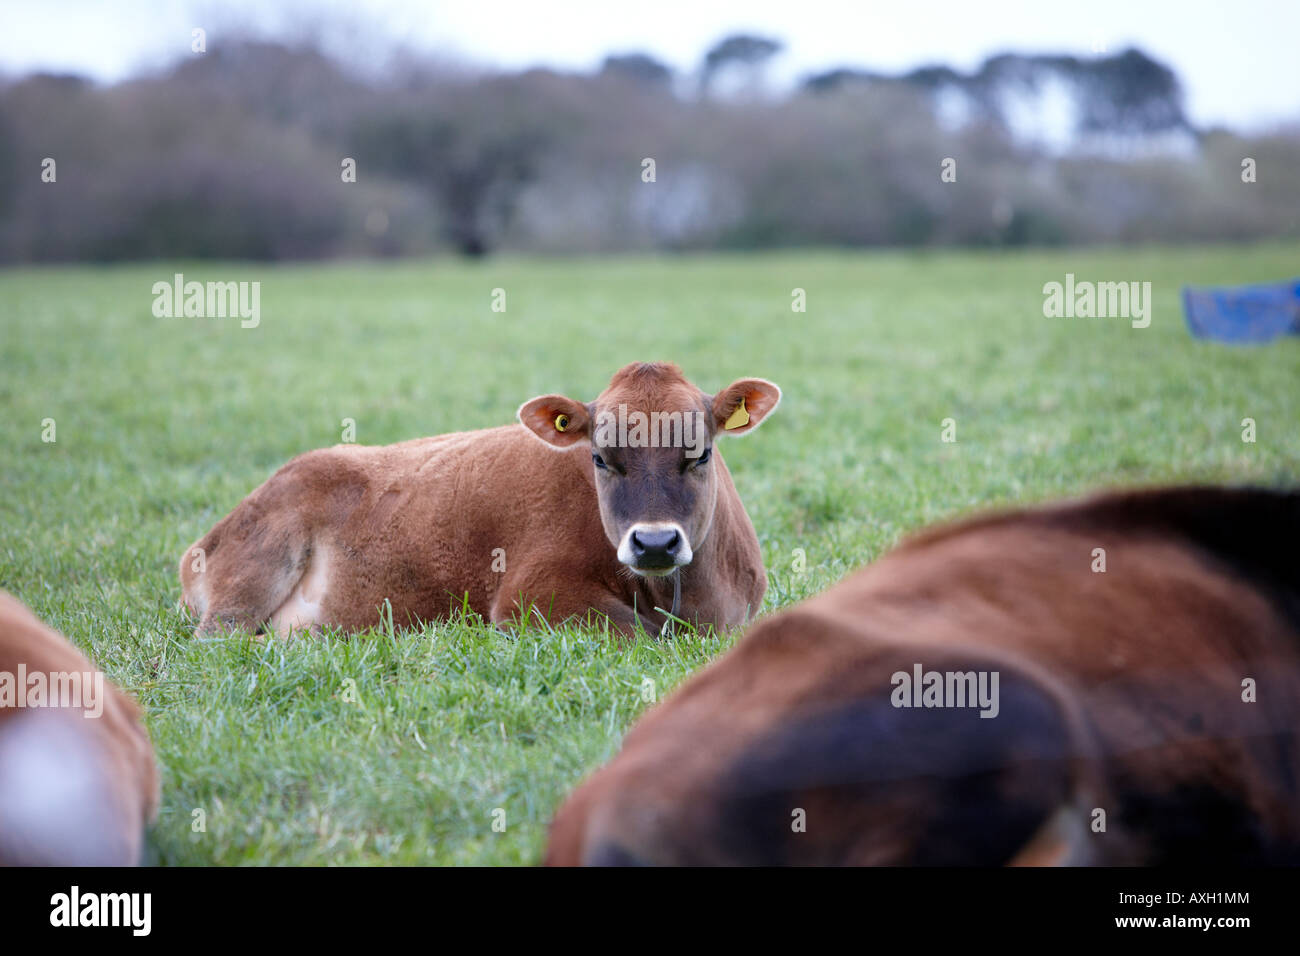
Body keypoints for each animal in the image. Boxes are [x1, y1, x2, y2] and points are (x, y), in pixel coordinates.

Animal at [179, 362, 780, 639]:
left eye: (700, 453)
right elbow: (635, 633)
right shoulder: (530, 597)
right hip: (246, 583)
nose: (654, 542)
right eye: (600, 458)